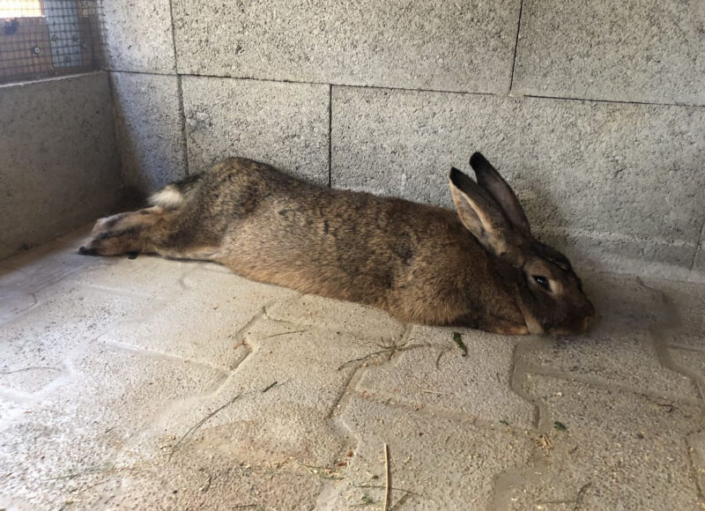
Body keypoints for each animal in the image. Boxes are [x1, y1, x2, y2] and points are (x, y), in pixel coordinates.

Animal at [80, 152, 595, 335]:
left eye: (571, 266)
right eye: (541, 280)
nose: (590, 317)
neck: (489, 262)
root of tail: (215, 171)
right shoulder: (432, 300)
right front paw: (520, 327)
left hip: (198, 232)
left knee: (150, 215)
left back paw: (97, 230)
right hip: (194, 234)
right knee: (152, 231)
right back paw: (94, 245)